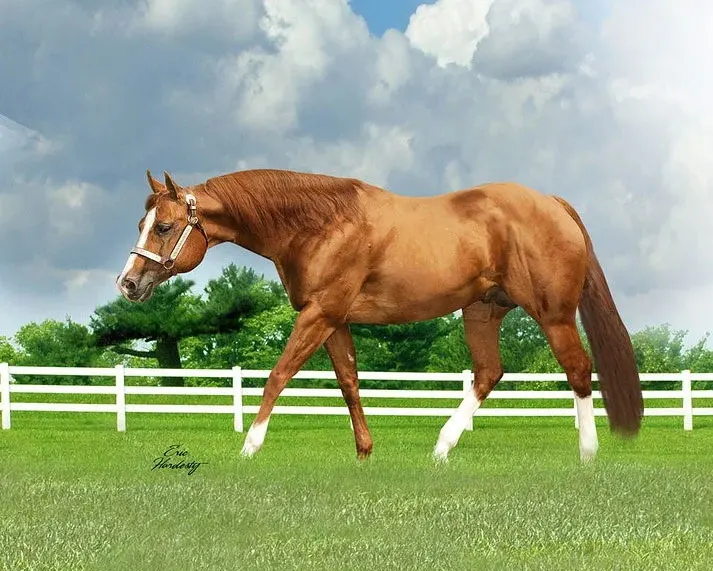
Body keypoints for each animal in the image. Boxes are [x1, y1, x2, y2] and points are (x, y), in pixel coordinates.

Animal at [116, 168, 643, 463]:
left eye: (164, 227)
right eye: (141, 223)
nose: (128, 283)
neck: (323, 224)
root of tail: (554, 203)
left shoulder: (319, 314)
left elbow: (277, 376)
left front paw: (249, 448)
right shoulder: (333, 320)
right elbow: (349, 383)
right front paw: (365, 453)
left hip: (553, 315)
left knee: (578, 370)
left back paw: (587, 454)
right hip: (482, 310)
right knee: (488, 373)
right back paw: (442, 448)